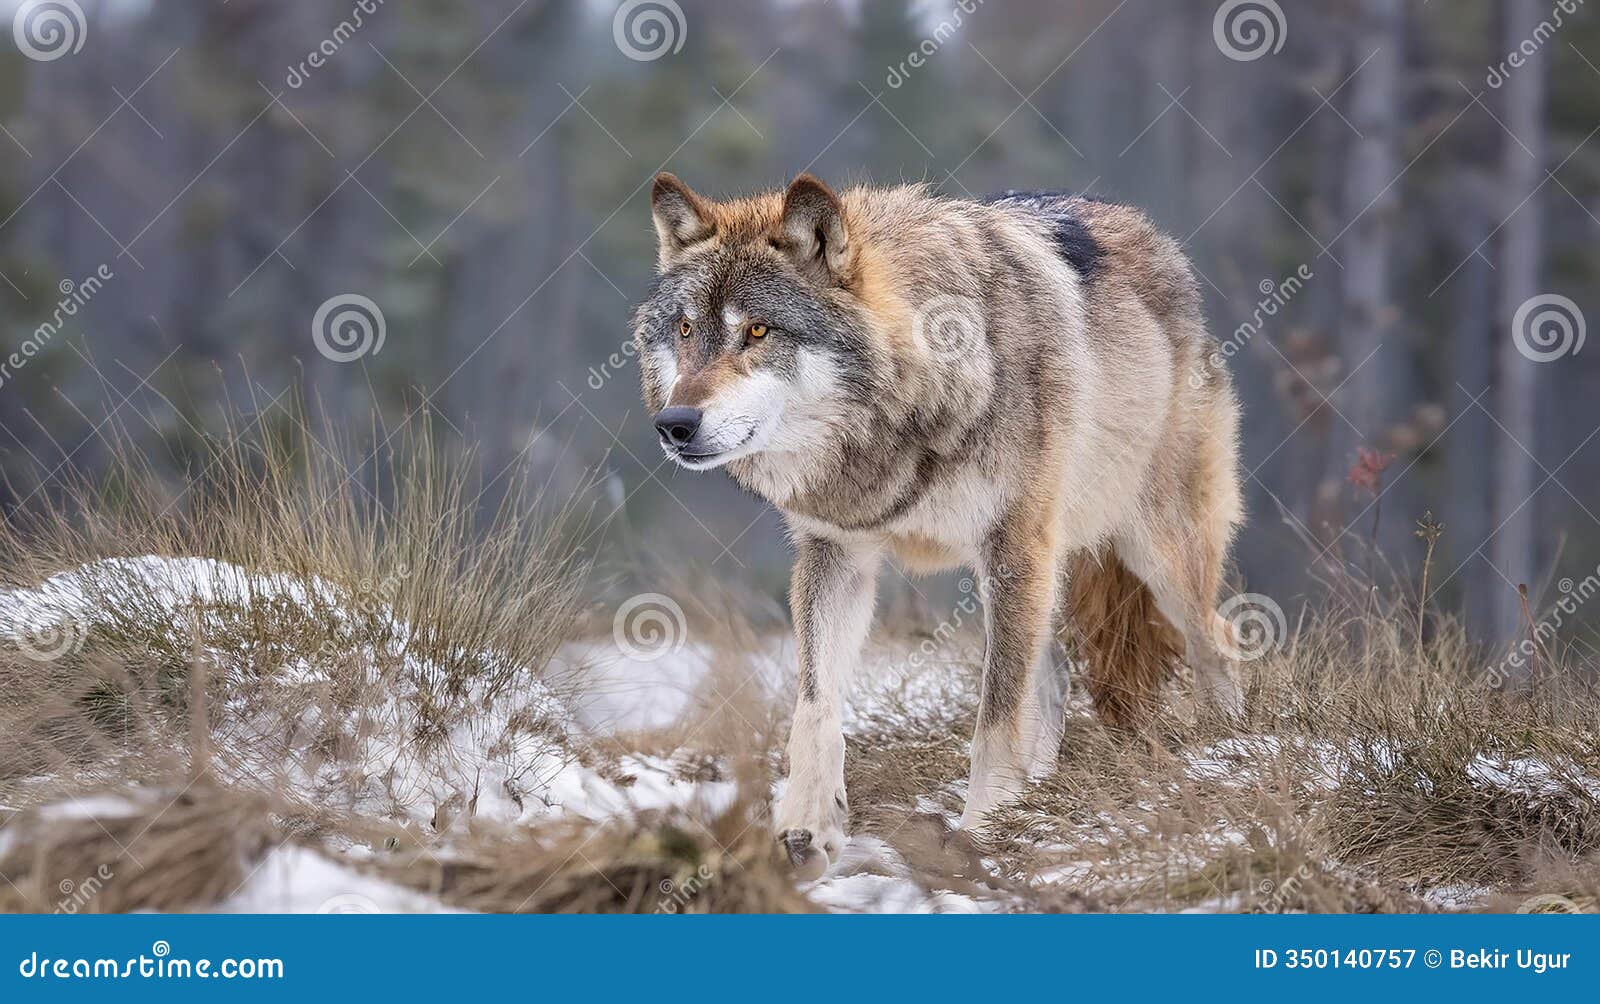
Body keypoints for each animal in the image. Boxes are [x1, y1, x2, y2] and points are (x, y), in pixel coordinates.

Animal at [631, 173, 1244, 879]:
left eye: (757, 330)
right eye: (684, 329)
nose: (674, 425)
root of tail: (1155, 238)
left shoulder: (1013, 544)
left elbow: (994, 719)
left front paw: (982, 833)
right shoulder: (835, 553)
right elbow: (814, 706)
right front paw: (808, 826)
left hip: (1151, 557)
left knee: (1218, 640)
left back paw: (1224, 751)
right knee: (1056, 676)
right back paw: (1041, 793)